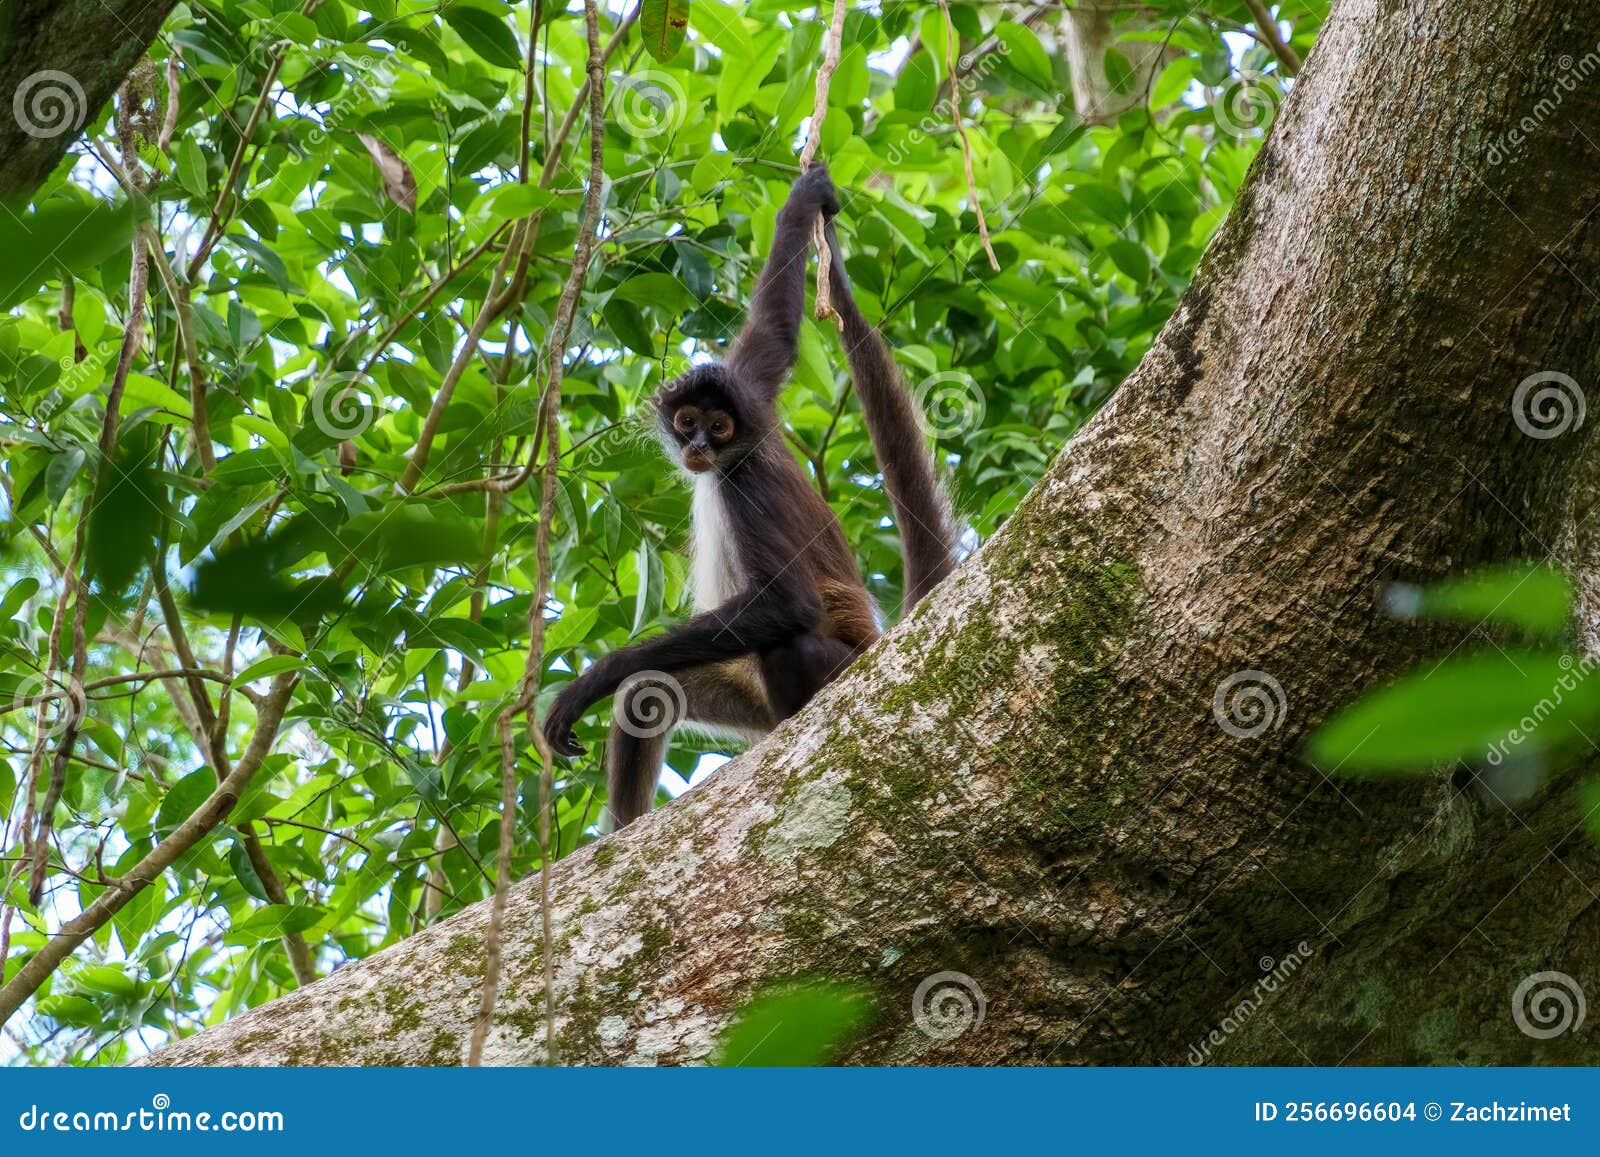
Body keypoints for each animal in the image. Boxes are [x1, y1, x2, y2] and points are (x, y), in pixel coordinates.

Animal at [540, 163, 959, 828]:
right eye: (689, 421)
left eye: (720, 428)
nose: (698, 447)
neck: (735, 458)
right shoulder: (752, 387)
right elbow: (774, 329)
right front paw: (809, 198)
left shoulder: (746, 487)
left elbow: (789, 605)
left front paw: (594, 678)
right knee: (652, 689)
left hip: (831, 671)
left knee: (787, 641)